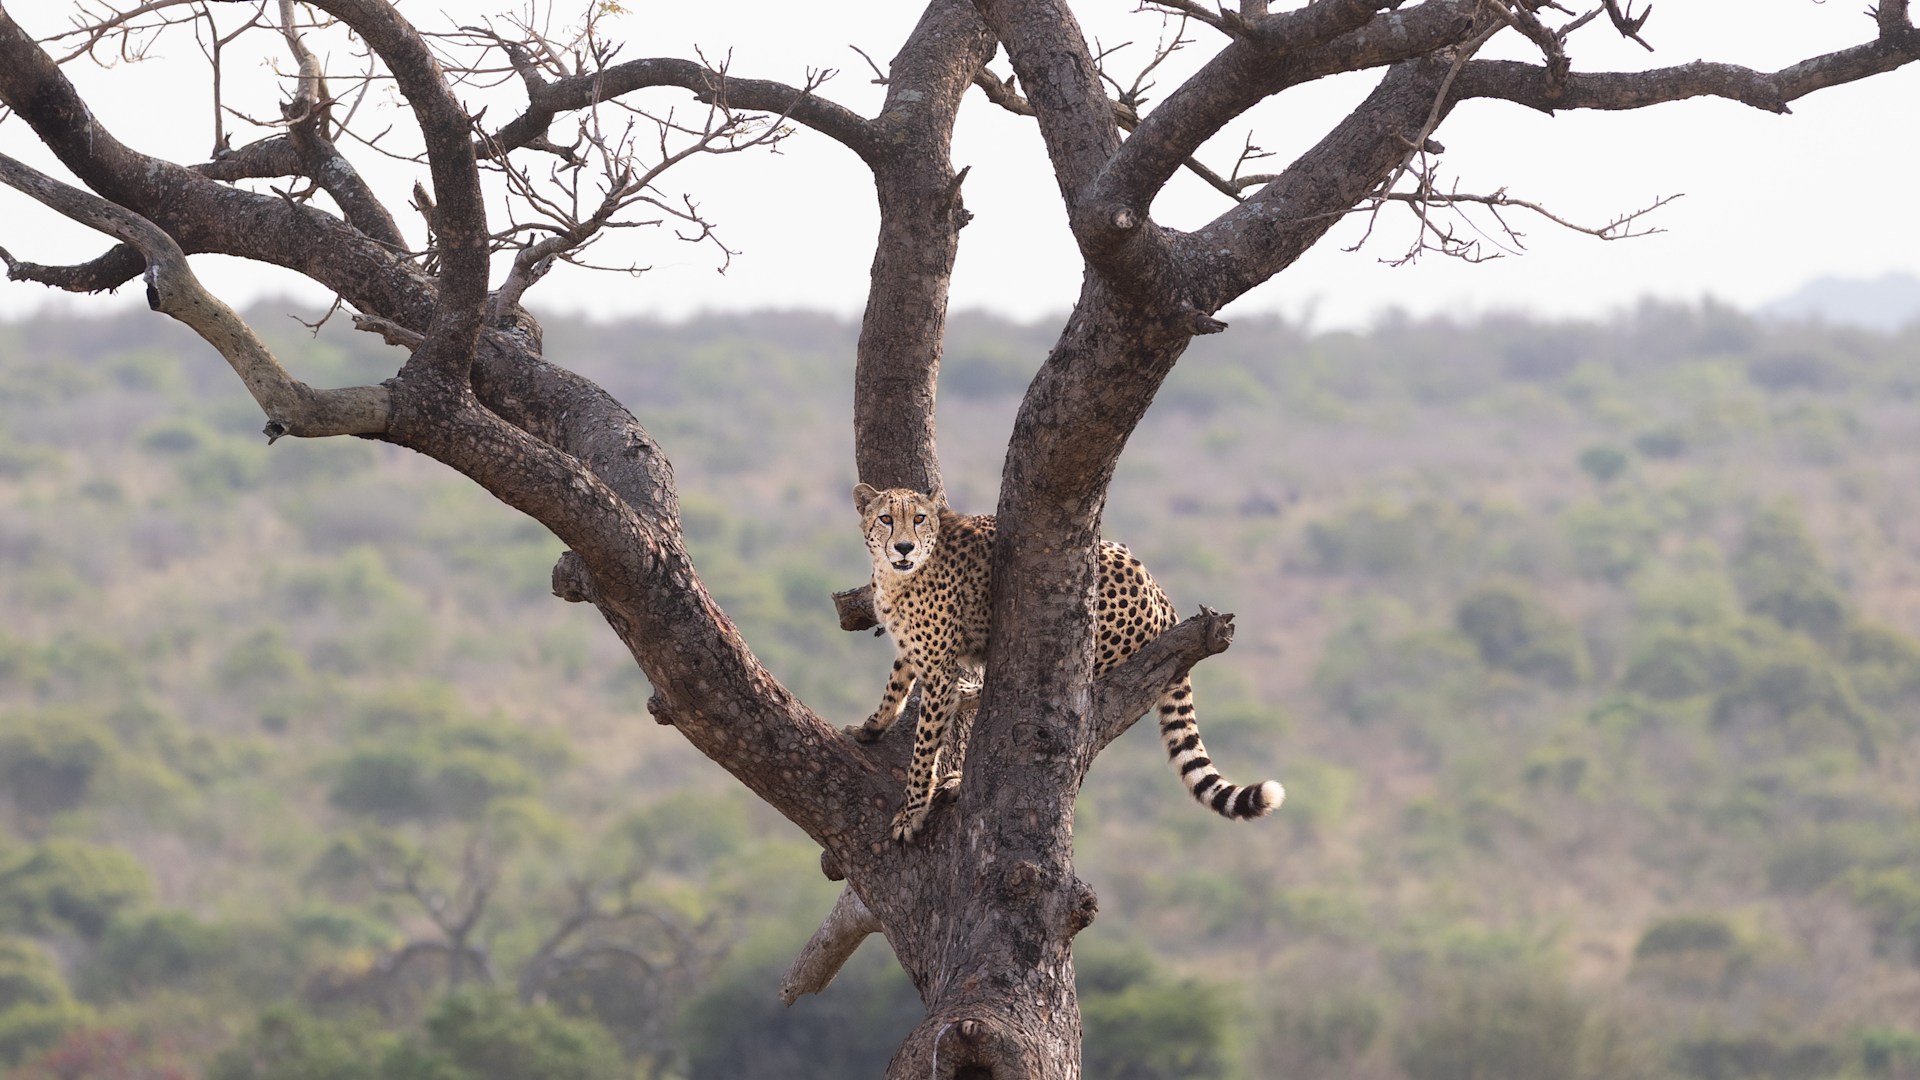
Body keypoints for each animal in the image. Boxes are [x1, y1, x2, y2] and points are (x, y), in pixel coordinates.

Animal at [851, 484, 1284, 842]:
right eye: (886, 519)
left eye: (918, 519)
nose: (904, 548)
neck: (896, 576)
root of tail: (1164, 600)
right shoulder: (914, 648)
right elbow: (895, 682)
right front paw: (873, 725)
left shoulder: (939, 666)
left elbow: (924, 746)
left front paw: (911, 813)